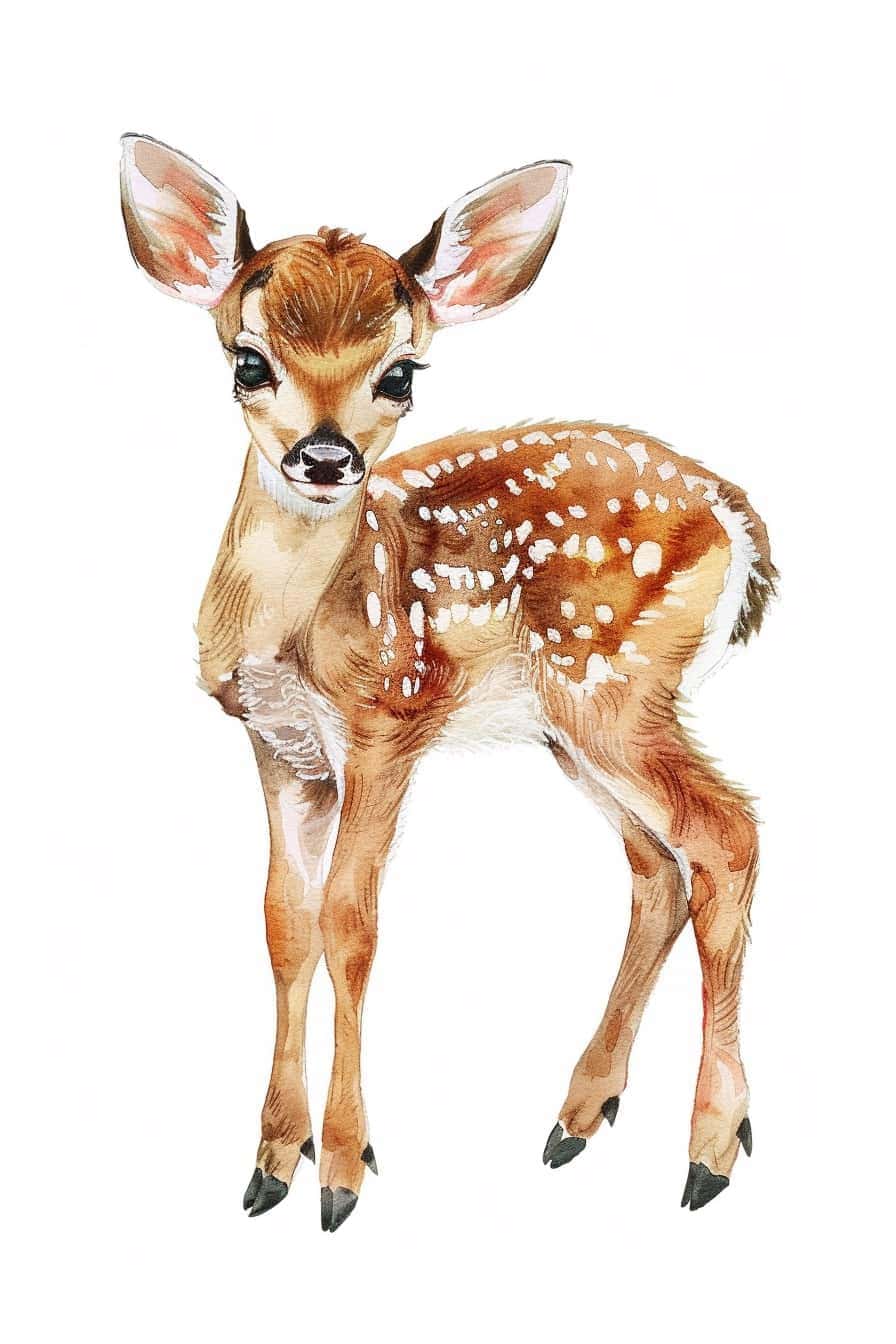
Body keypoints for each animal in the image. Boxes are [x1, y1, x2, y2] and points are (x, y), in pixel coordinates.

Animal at [120, 134, 776, 1231]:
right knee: (657, 867)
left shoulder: (388, 727)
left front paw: (343, 1171)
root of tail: (738, 521)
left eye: (400, 375)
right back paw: (579, 1115)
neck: (296, 630)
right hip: (572, 726)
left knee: (725, 836)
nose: (326, 456)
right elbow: (284, 922)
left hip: (612, 683)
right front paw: (272, 1160)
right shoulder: (278, 746)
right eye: (248, 360)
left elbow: (351, 923)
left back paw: (710, 1151)